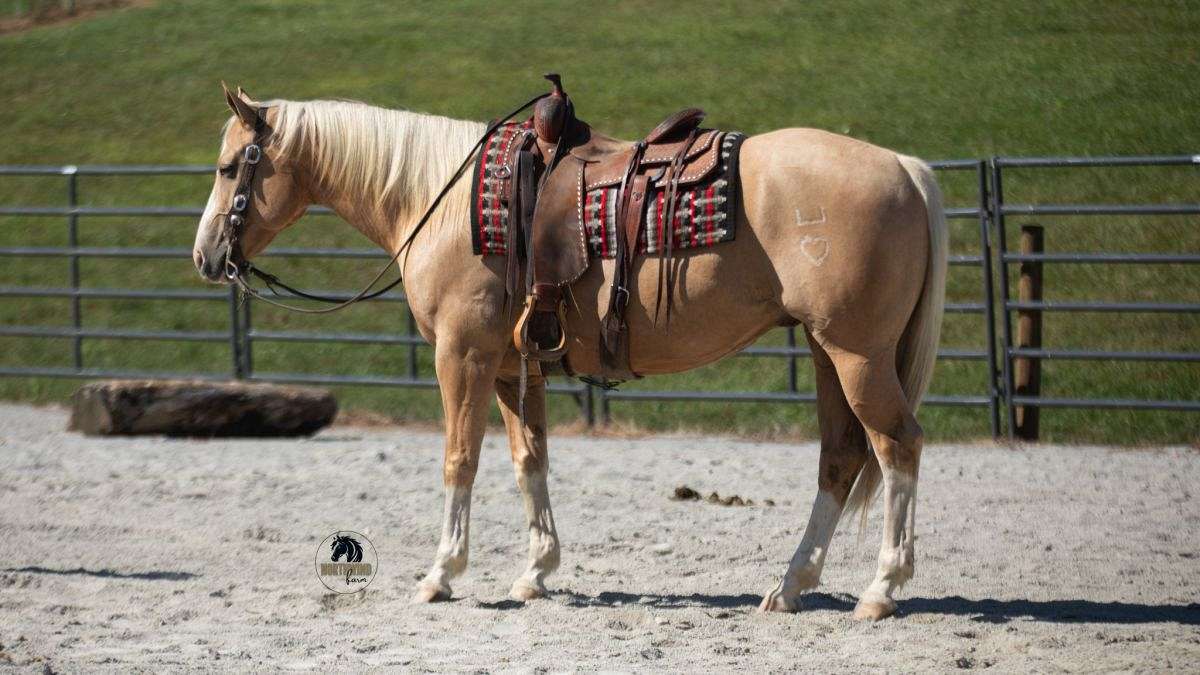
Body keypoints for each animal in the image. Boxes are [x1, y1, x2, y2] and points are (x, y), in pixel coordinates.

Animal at [193, 85, 947, 621]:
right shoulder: (509, 369)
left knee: (897, 447)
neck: (441, 199)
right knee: (841, 457)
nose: (205, 255)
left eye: (231, 167)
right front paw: (535, 571)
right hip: (827, 353)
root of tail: (904, 167)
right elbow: (529, 461)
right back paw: (790, 585)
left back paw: (881, 588)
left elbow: (459, 460)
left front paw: (441, 574)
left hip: (857, 356)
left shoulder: (462, 357)